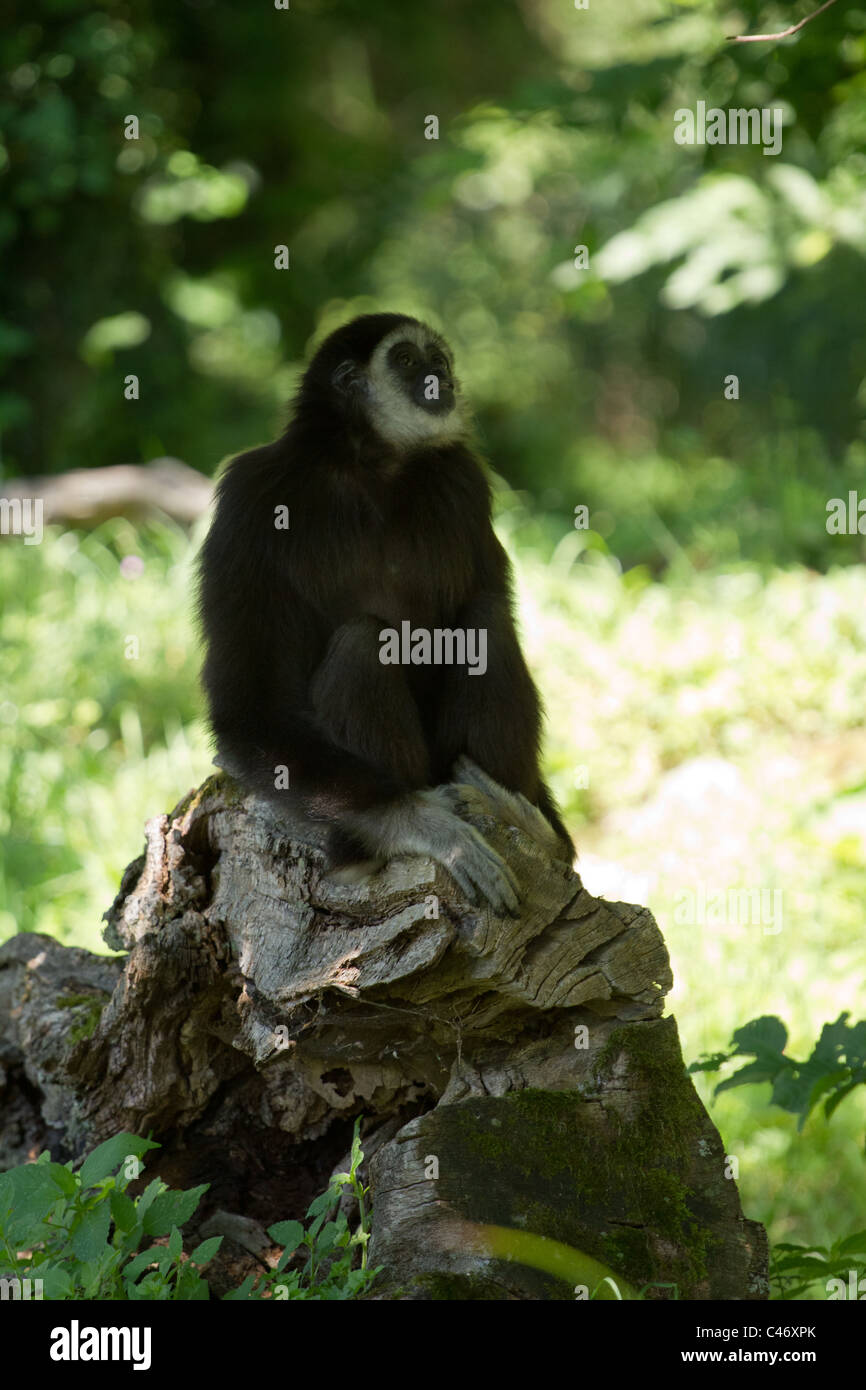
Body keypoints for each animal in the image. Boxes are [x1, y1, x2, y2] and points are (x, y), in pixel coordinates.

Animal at [197, 312, 573, 914]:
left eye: (437, 358)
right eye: (406, 359)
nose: (440, 376)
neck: (370, 463)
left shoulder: (464, 479)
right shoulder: (249, 501)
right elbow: (250, 710)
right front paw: (420, 825)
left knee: (484, 623)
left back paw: (521, 821)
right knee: (362, 643)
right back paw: (366, 853)